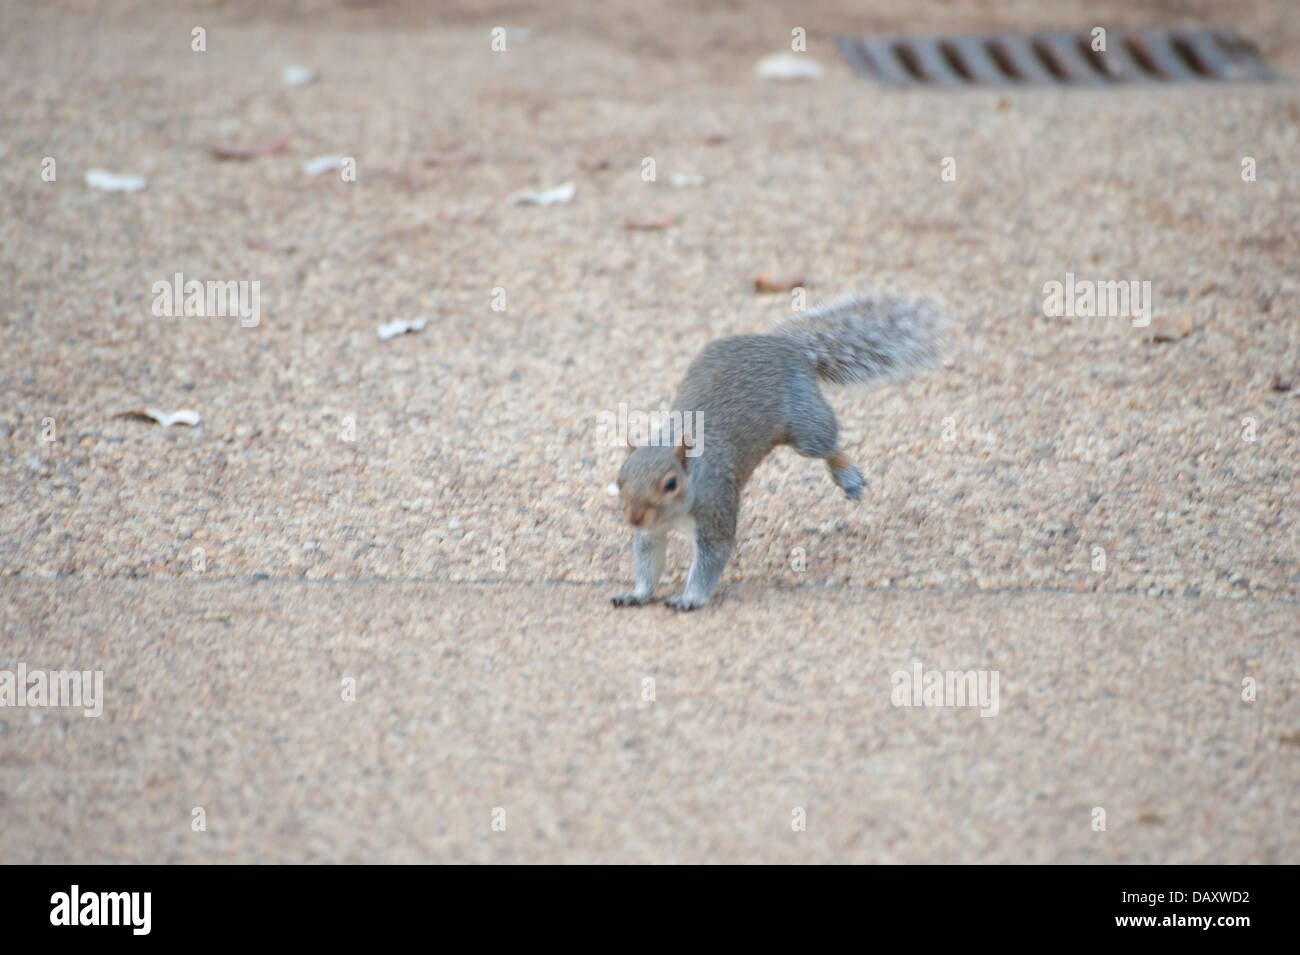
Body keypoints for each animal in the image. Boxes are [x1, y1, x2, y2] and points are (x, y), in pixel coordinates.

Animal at [612, 291, 944, 611]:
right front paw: (637, 594)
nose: (634, 518)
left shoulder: (716, 508)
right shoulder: (652, 533)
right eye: (619, 480)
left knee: (828, 443)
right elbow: (648, 560)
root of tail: (782, 345)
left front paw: (690, 599)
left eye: (671, 484)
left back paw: (846, 474)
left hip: (805, 424)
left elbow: (712, 558)